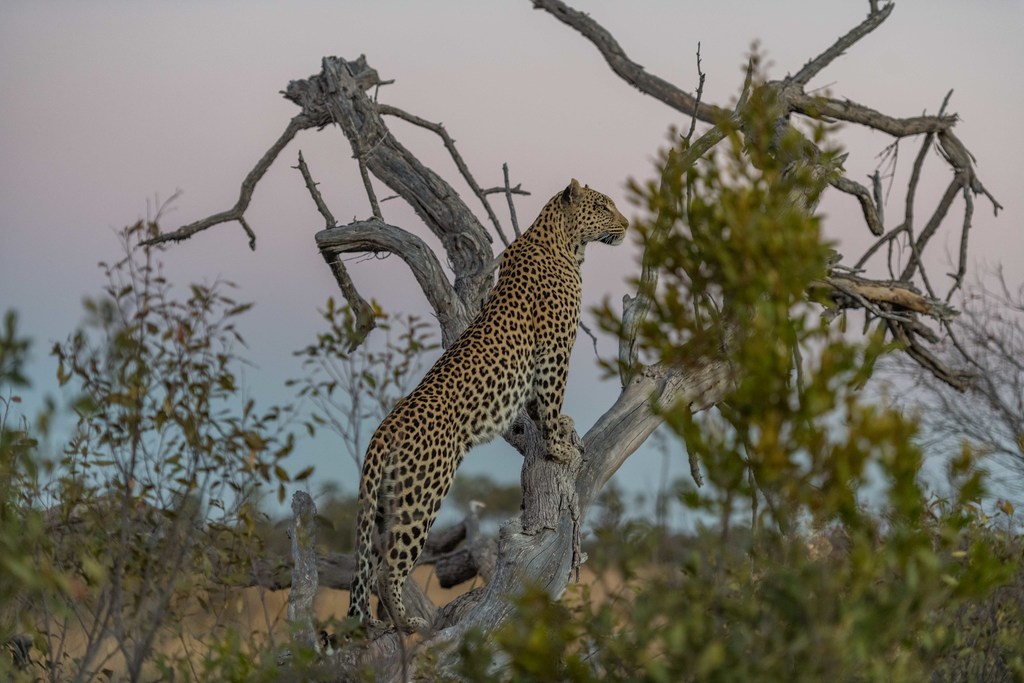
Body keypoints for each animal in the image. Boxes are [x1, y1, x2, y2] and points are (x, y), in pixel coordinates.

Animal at [346, 178, 628, 632]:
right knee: (390, 566)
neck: (565, 241)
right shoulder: (554, 350)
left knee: (369, 566)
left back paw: (376, 625)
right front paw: (559, 446)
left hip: (386, 500)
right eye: (604, 206)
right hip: (422, 492)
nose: (627, 224)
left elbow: (538, 408)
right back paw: (409, 624)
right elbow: (550, 399)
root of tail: (386, 427)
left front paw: (556, 433)